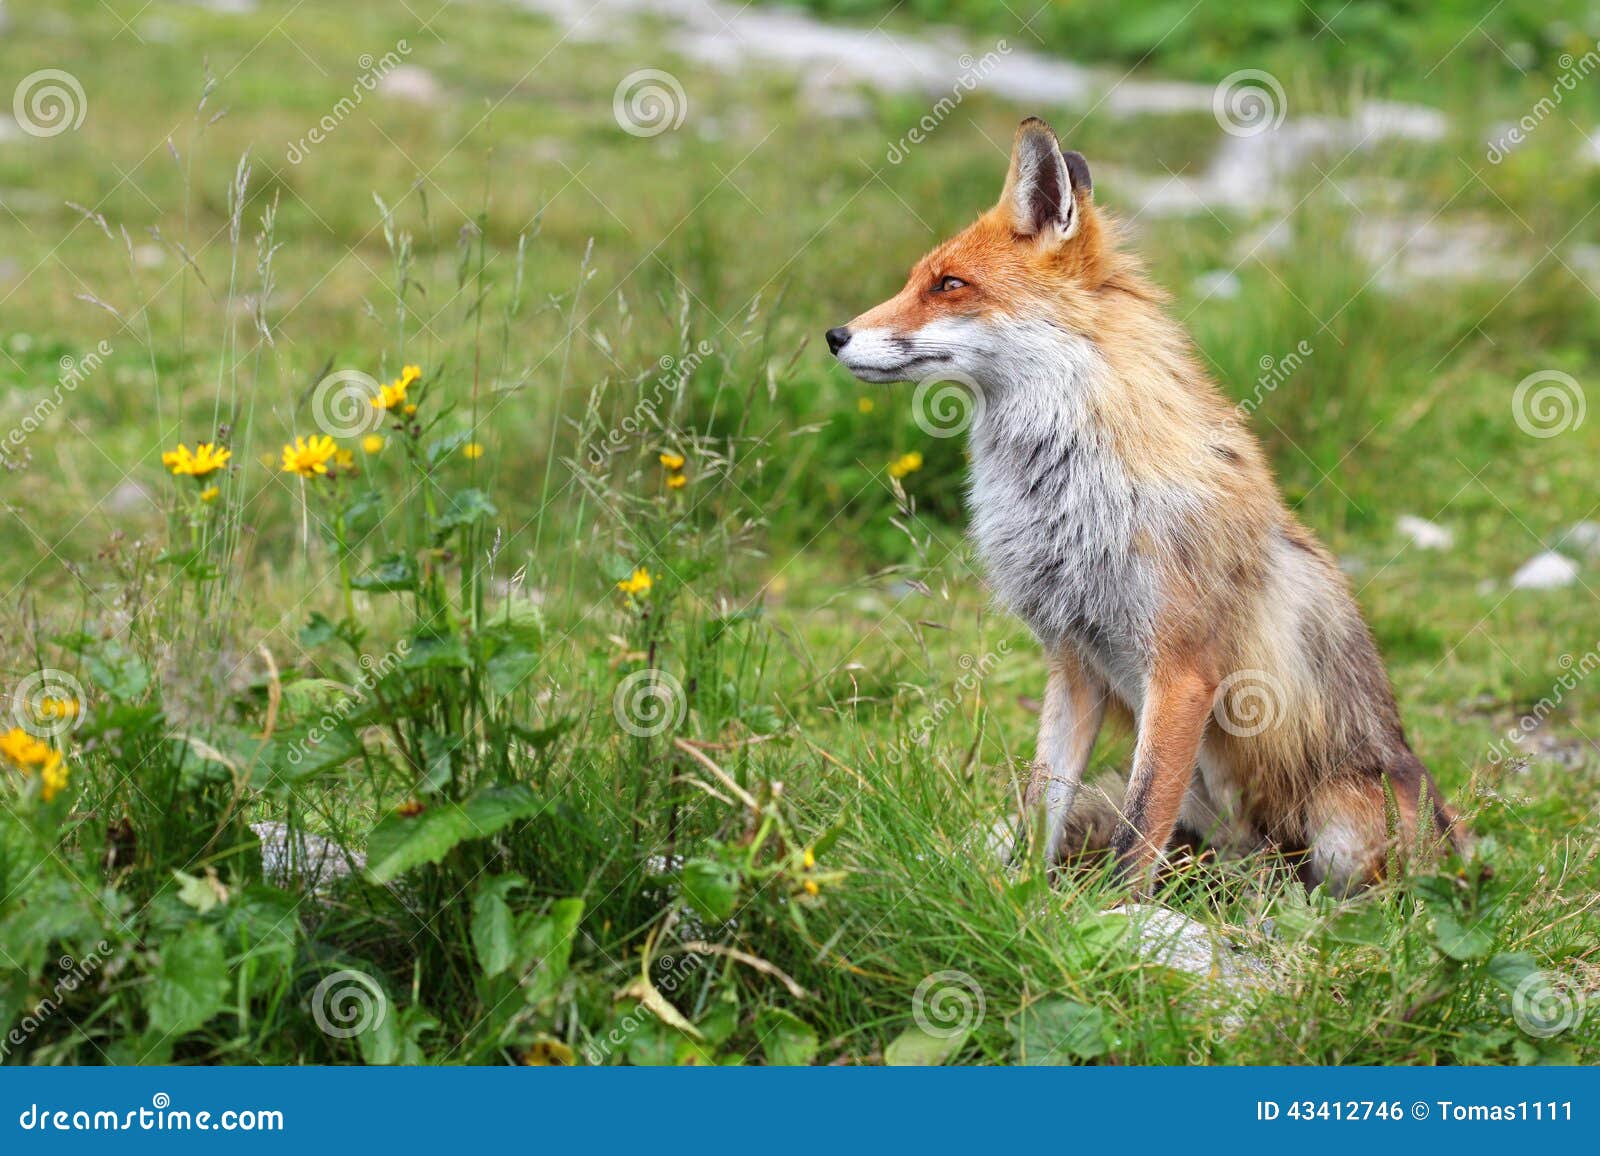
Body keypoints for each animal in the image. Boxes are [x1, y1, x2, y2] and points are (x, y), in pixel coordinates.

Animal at [827, 117, 1469, 895]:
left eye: (949, 285)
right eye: (916, 280)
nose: (835, 336)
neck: (1072, 495)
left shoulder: (1181, 671)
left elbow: (1136, 836)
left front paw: (1113, 917)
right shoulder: (1074, 662)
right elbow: (1041, 810)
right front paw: (1022, 900)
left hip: (1342, 823)